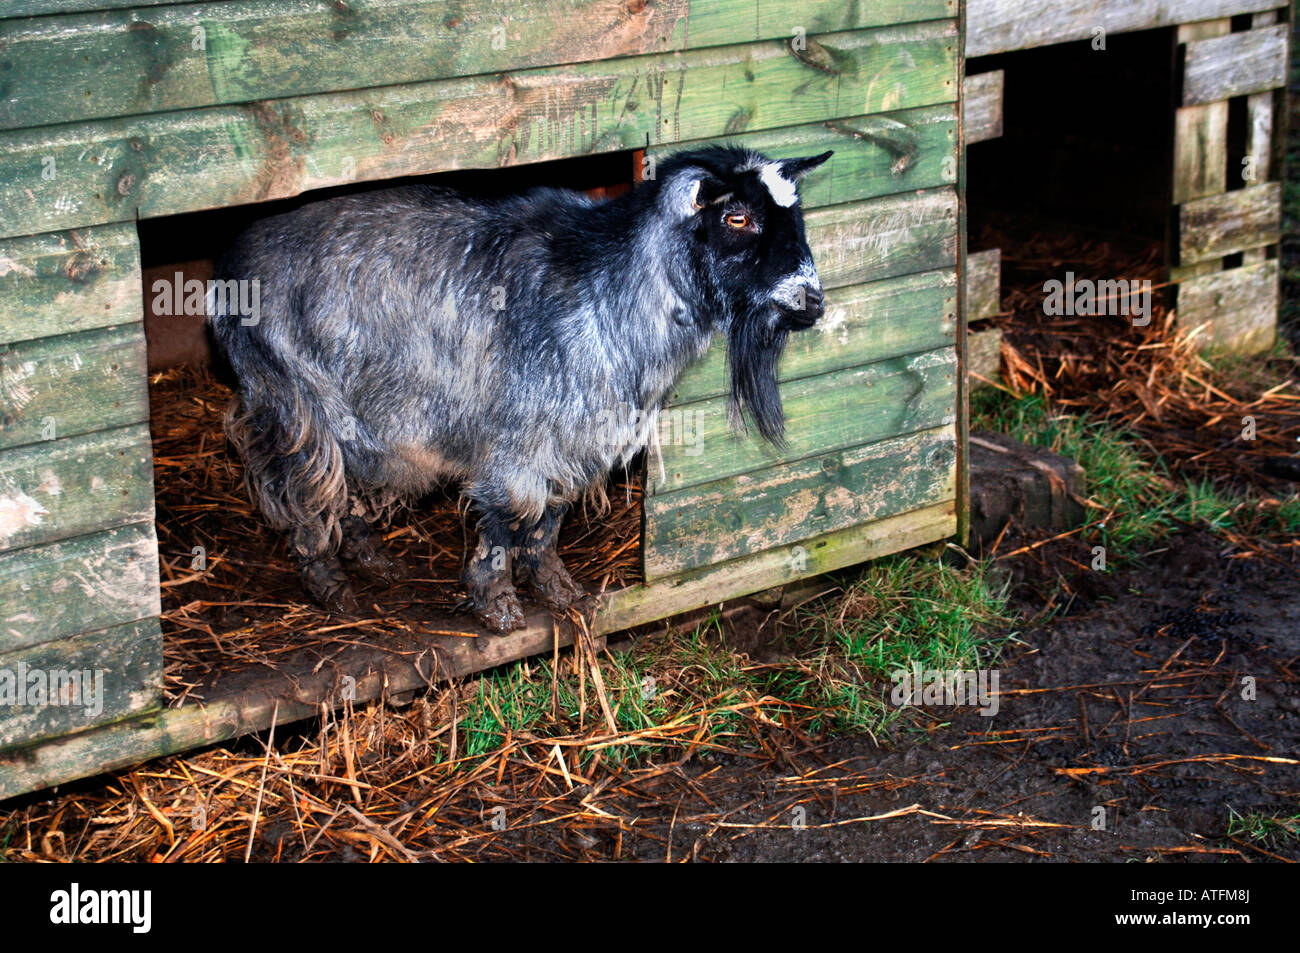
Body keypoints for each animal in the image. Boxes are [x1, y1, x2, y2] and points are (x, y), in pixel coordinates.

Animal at [207, 146, 832, 632]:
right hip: (292, 399)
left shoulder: (574, 440)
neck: (612, 290)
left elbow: (549, 519)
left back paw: (372, 559)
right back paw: (331, 586)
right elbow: (508, 516)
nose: (812, 300)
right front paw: (497, 604)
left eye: (795, 214)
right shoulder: (517, 438)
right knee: (303, 487)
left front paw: (560, 590)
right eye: (737, 218)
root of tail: (225, 274)